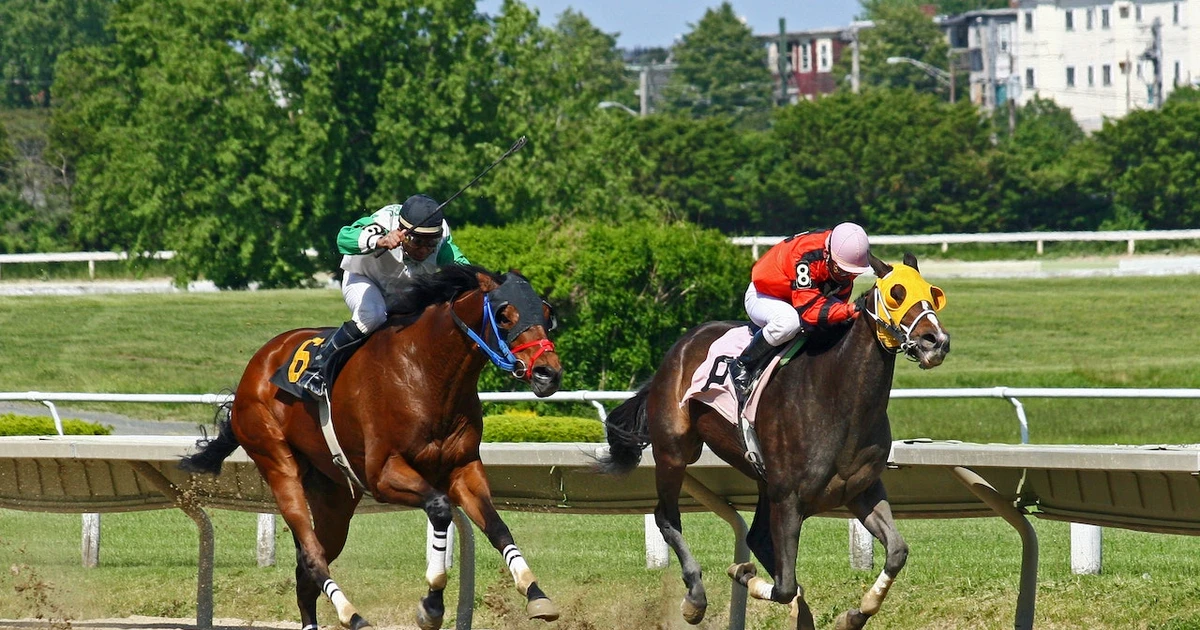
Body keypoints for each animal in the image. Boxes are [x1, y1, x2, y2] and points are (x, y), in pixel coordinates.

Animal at [180, 265, 563, 630]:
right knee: (312, 555)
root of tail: (260, 361)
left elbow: (497, 526)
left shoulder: (463, 468)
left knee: (306, 571)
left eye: (547, 314)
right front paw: (432, 605)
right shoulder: (383, 474)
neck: (426, 373)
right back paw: (352, 615)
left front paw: (536, 594)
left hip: (334, 497)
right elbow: (440, 508)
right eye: (504, 314)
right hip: (276, 459)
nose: (548, 374)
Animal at [598, 253, 950, 630]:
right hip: (675, 451)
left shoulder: (860, 491)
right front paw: (741, 572)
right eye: (896, 293)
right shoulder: (789, 498)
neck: (838, 397)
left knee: (758, 539)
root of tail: (679, 347)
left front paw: (855, 614)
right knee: (666, 516)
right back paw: (695, 598)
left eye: (932, 293)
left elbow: (897, 552)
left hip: (762, 479)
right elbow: (783, 586)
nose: (936, 341)